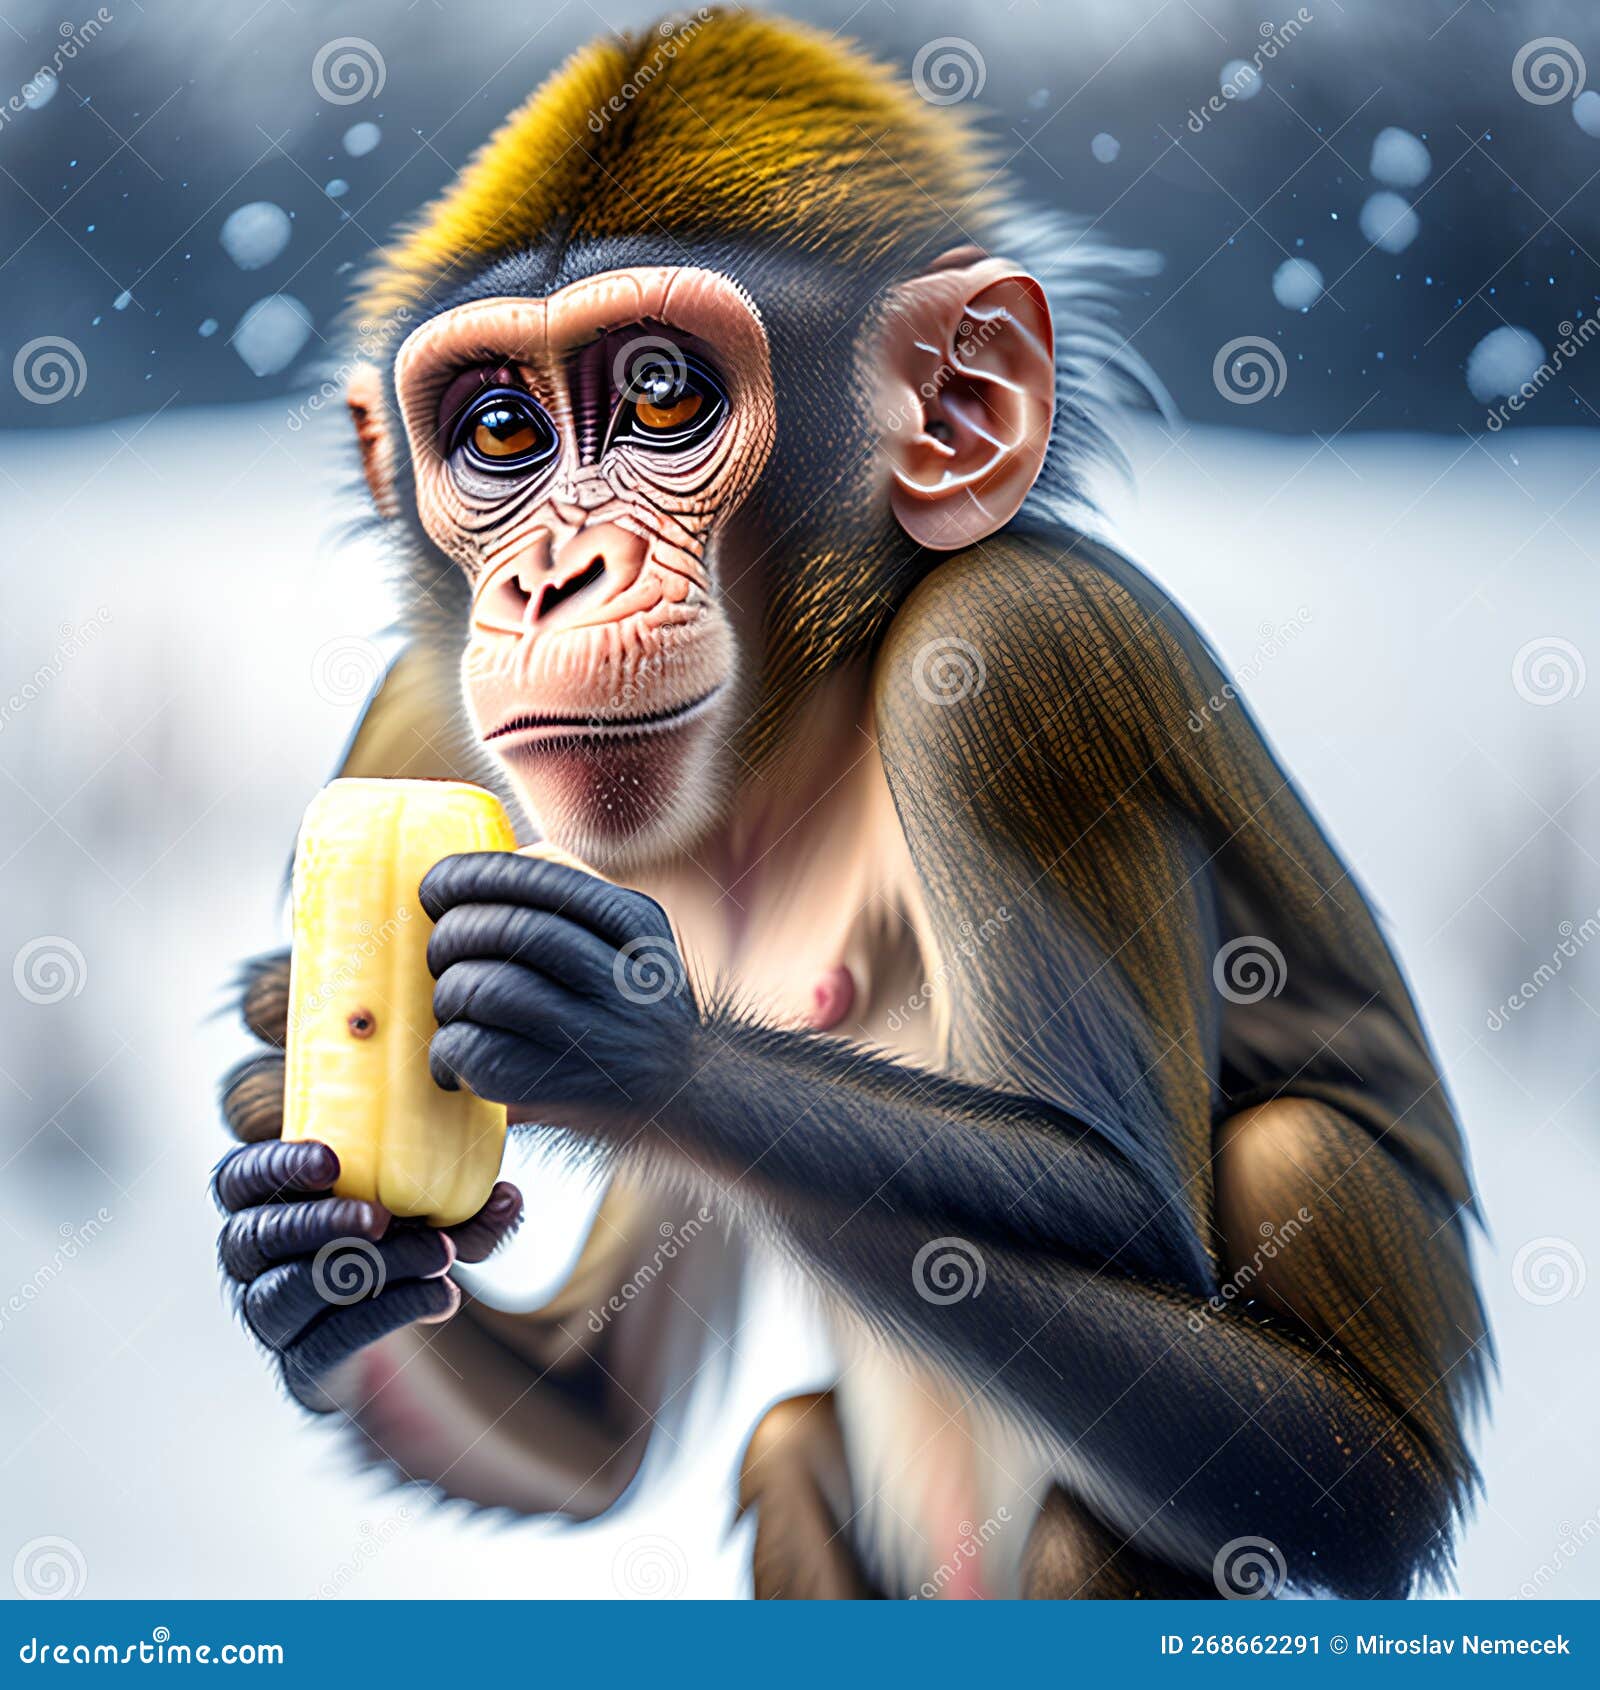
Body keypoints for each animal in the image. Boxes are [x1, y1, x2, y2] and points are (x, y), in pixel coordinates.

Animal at [213, 11, 1488, 1601]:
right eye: (501, 428)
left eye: (661, 394)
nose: (551, 579)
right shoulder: (409, 718)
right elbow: (597, 1418)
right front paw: (290, 1217)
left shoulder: (1016, 656)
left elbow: (1116, 1191)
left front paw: (619, 1031)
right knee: (782, 1443)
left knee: (1271, 1226)